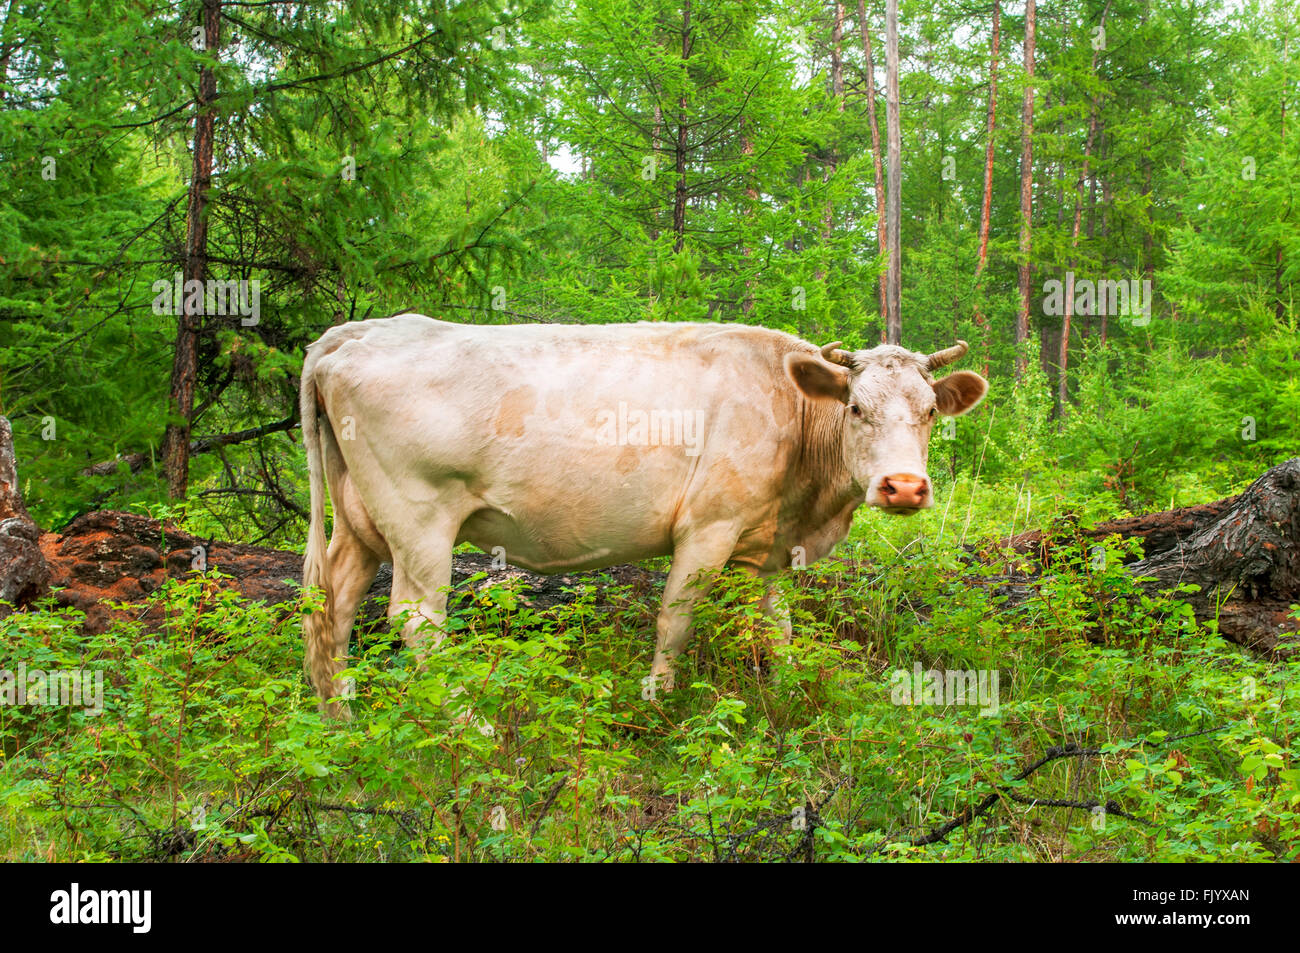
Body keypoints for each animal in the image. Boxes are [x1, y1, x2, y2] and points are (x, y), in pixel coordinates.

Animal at [299, 315, 988, 714]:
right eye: (855, 410)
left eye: (930, 411)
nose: (904, 487)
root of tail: (354, 332)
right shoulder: (707, 527)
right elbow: (675, 621)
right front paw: (655, 704)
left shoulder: (766, 546)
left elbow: (777, 629)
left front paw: (790, 694)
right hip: (420, 519)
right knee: (418, 623)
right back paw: (471, 726)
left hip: (360, 520)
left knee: (331, 607)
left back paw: (338, 719)